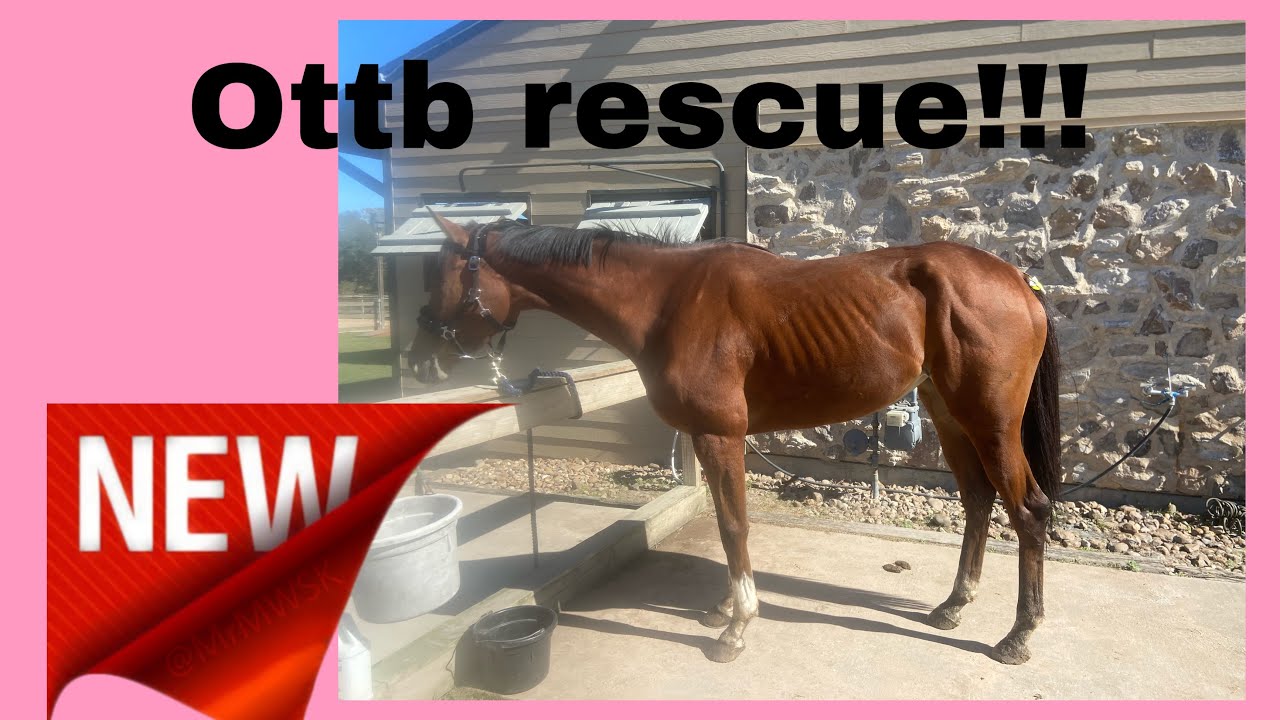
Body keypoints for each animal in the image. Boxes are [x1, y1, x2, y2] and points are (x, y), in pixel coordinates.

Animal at [408, 209, 1061, 666]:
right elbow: (728, 525)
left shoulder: (720, 435)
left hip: (990, 421)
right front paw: (725, 606)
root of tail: (1018, 282)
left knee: (1028, 510)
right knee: (978, 501)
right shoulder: (709, 437)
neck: (667, 301)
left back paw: (1019, 635)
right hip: (950, 416)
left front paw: (737, 625)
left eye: (438, 276)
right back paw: (953, 606)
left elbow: (733, 525)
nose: (420, 363)